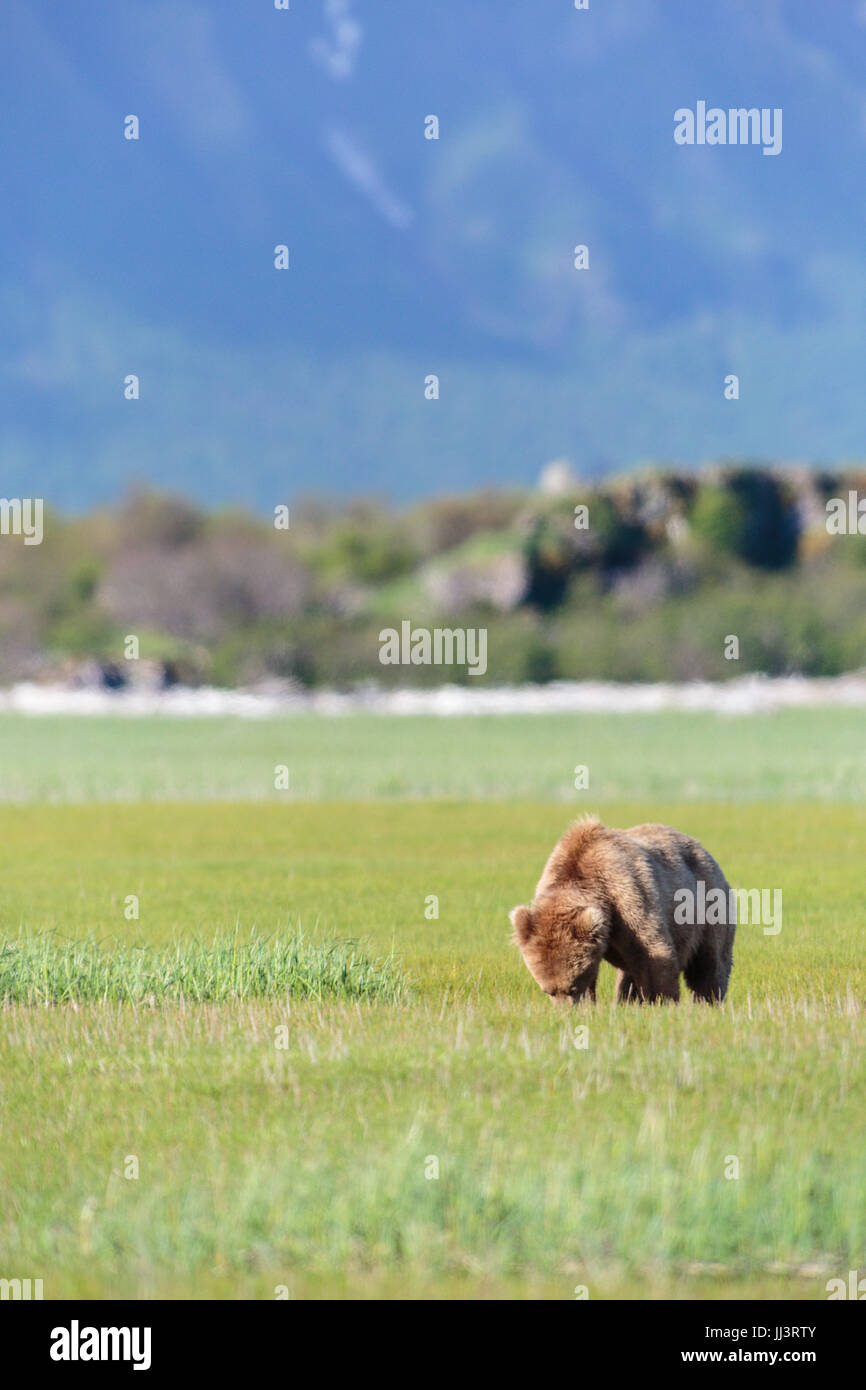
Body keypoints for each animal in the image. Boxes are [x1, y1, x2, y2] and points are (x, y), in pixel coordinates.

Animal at [509, 816, 735, 1004]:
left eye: (572, 987)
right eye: (547, 990)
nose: (566, 1010)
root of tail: (702, 849)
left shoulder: (627, 896)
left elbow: (654, 954)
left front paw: (661, 1002)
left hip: (708, 905)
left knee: (709, 964)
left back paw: (709, 1001)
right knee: (628, 975)